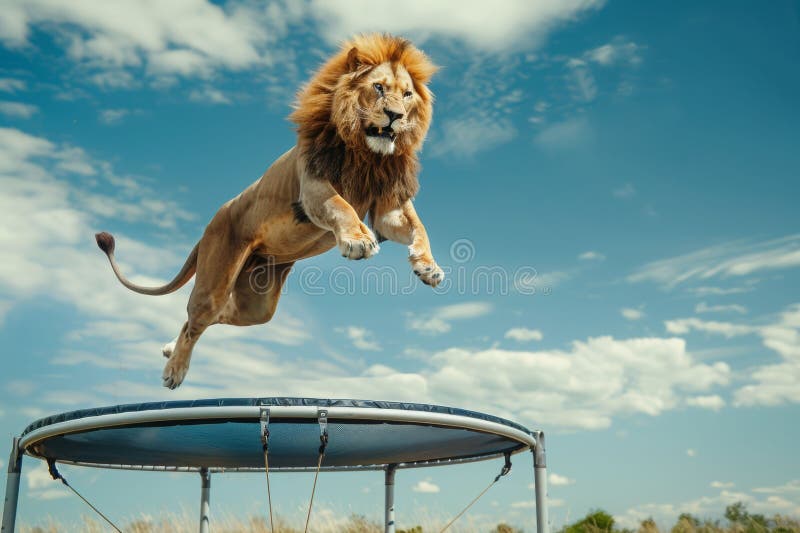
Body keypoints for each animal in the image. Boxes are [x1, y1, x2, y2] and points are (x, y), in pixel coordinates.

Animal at [95, 34, 444, 389]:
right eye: (378, 88)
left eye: (407, 94)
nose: (395, 115)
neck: (366, 153)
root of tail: (211, 224)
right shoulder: (313, 186)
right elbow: (341, 205)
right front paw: (358, 241)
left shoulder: (389, 208)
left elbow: (420, 228)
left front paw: (428, 267)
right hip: (216, 277)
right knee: (198, 318)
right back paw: (174, 369)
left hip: (257, 303)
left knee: (212, 316)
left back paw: (168, 349)